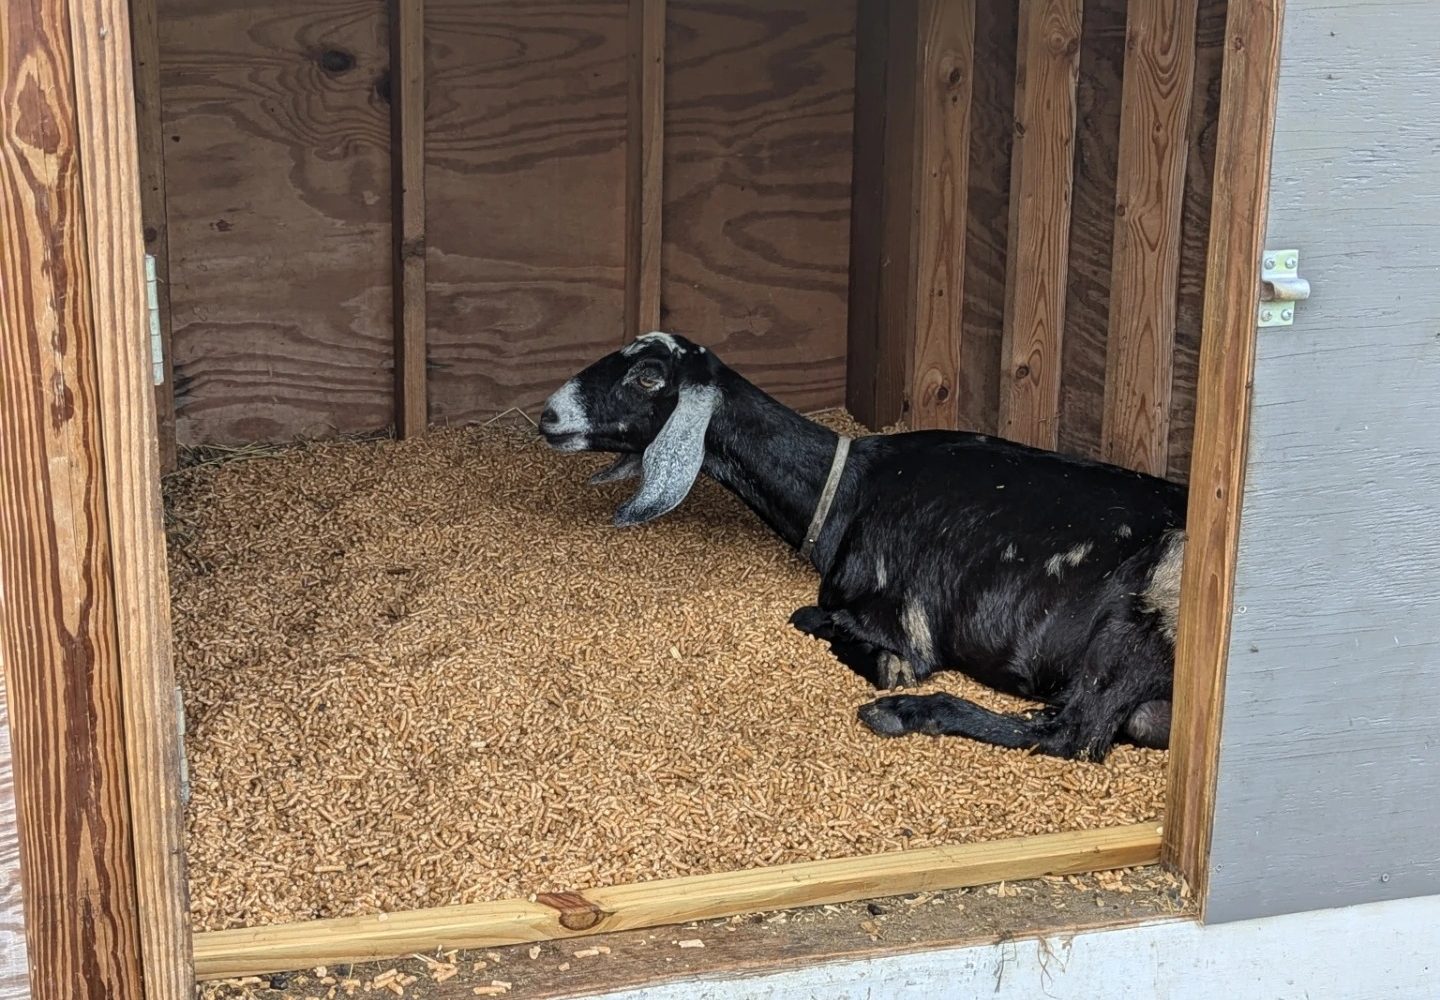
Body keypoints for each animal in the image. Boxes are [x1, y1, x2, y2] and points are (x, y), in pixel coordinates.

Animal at [539, 332, 1187, 761]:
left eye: (648, 375)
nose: (548, 415)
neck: (851, 490)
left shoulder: (898, 614)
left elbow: (813, 617)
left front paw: (887, 668)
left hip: (1138, 618)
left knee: (1073, 735)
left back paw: (905, 713)